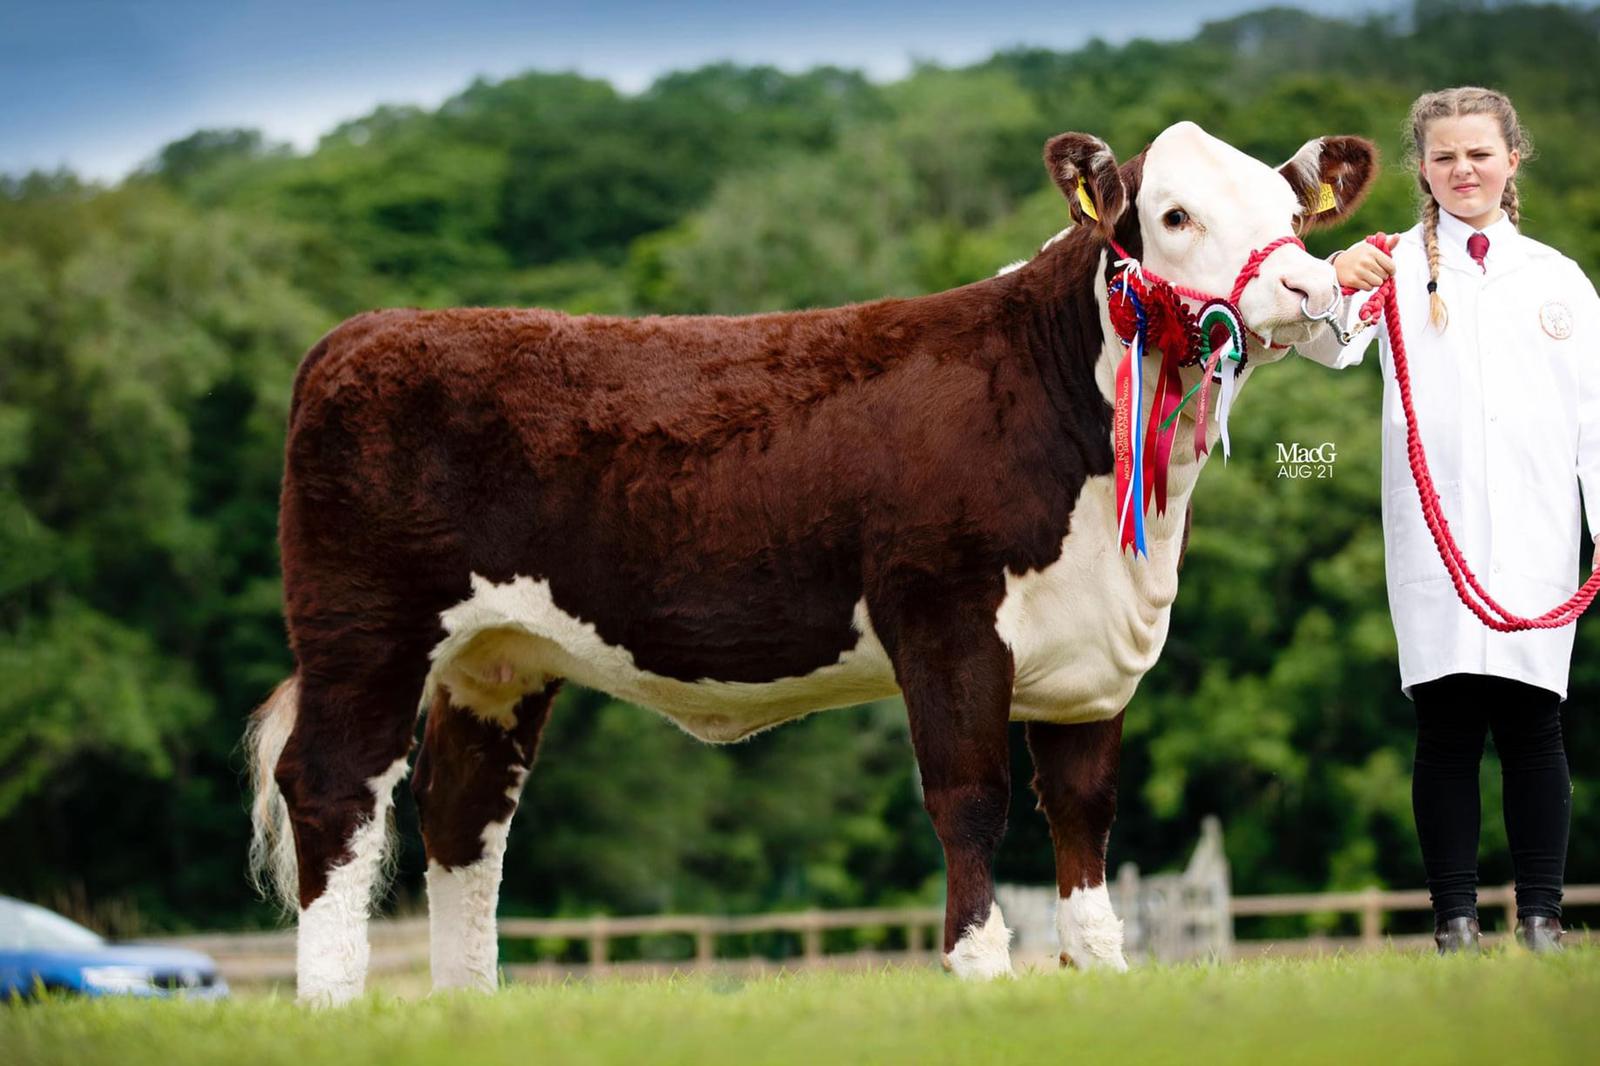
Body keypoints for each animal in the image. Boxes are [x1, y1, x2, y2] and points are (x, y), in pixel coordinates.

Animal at [246, 121, 1376, 1004]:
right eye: (1175, 216)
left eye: (1291, 209)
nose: (1305, 283)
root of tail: (363, 334)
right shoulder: (946, 619)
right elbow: (971, 796)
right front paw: (979, 967)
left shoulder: (1093, 649)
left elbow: (1085, 808)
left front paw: (1098, 968)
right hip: (364, 629)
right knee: (334, 789)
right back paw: (333, 1000)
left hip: (497, 657)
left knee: (463, 815)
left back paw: (467, 1003)